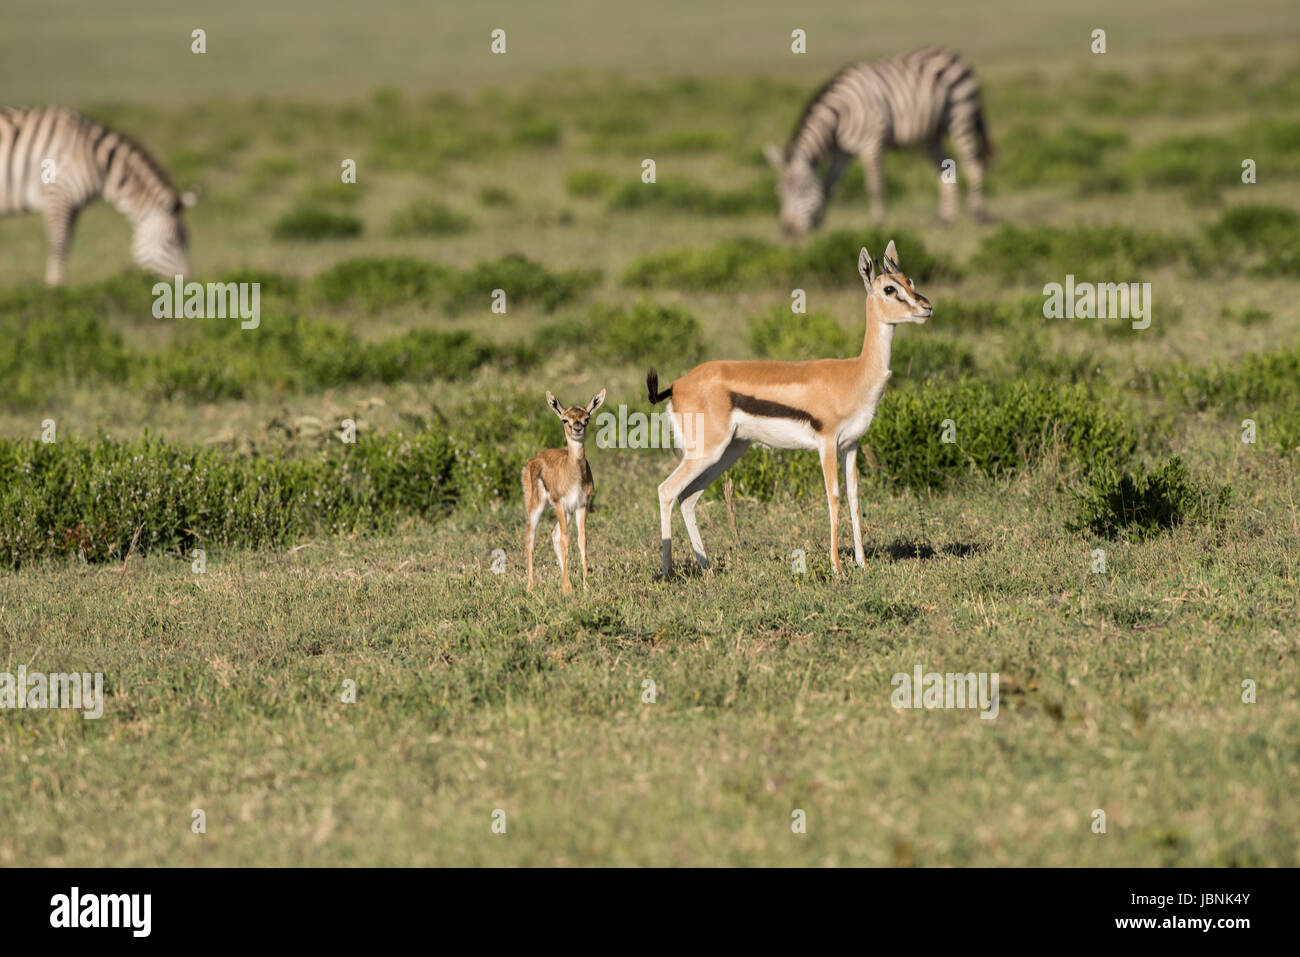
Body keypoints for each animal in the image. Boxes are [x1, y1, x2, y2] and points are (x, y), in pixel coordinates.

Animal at [523, 388, 606, 594]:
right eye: (564, 419)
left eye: (586, 418)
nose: (577, 429)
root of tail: (534, 459)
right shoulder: (560, 504)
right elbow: (565, 540)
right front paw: (567, 589)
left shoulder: (581, 505)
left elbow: (581, 540)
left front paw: (586, 585)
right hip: (536, 507)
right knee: (530, 538)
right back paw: (531, 585)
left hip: (567, 512)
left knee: (554, 534)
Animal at [646, 240, 930, 578]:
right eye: (889, 288)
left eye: (910, 282)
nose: (926, 308)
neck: (855, 374)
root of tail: (677, 385)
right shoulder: (827, 444)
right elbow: (834, 497)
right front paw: (837, 567)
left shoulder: (851, 445)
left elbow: (854, 497)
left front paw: (861, 562)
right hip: (705, 452)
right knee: (667, 490)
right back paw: (668, 571)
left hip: (728, 452)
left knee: (688, 497)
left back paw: (707, 566)